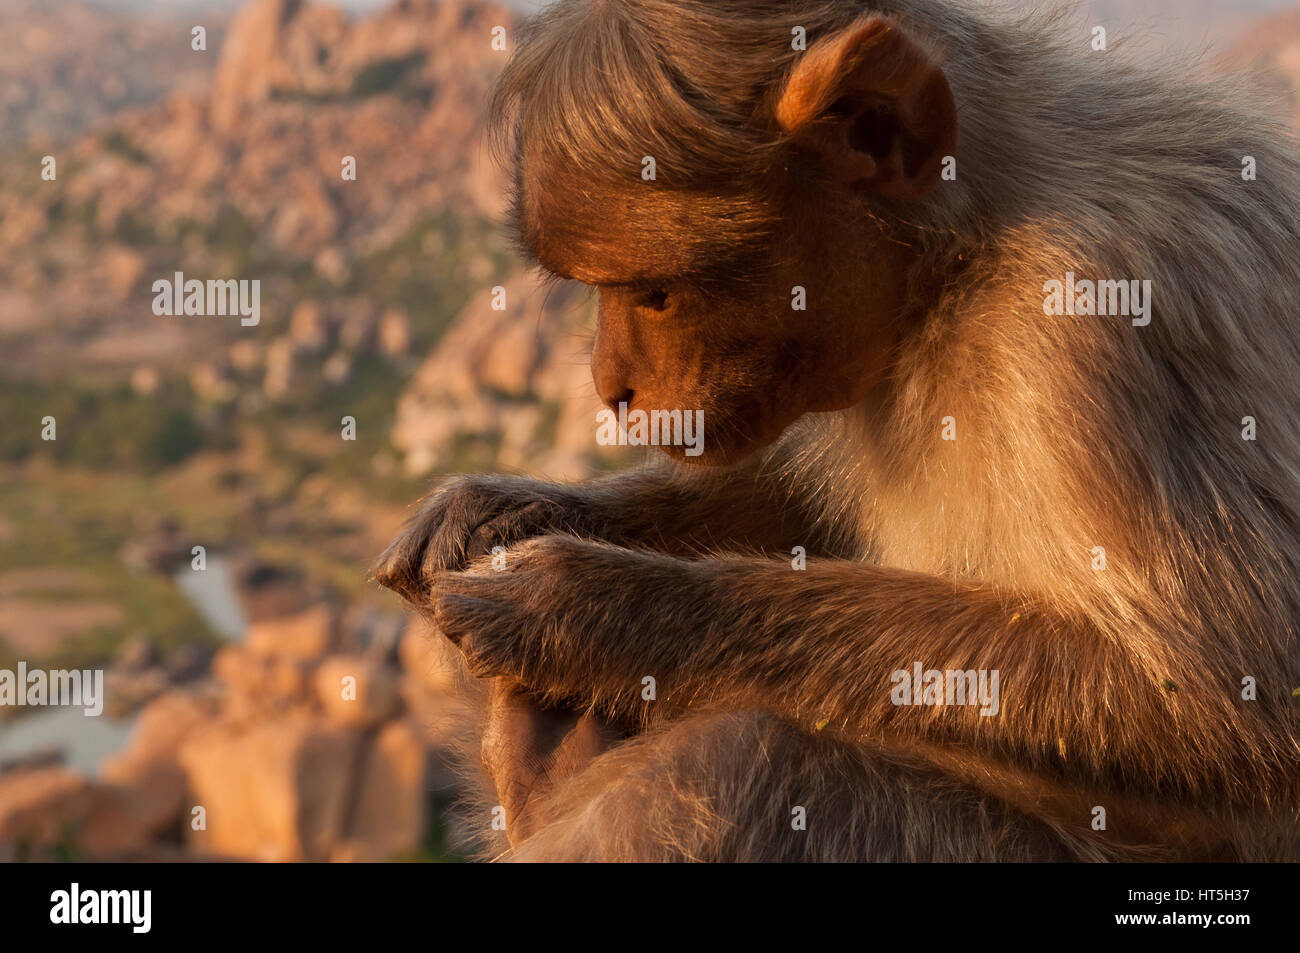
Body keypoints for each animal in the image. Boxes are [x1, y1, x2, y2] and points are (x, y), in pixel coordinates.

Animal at [374, 0, 1300, 862]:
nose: (613, 389)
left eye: (653, 294)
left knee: (731, 766)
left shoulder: (1106, 317)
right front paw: (501, 510)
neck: (960, 256)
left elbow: (1220, 711)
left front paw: (594, 607)